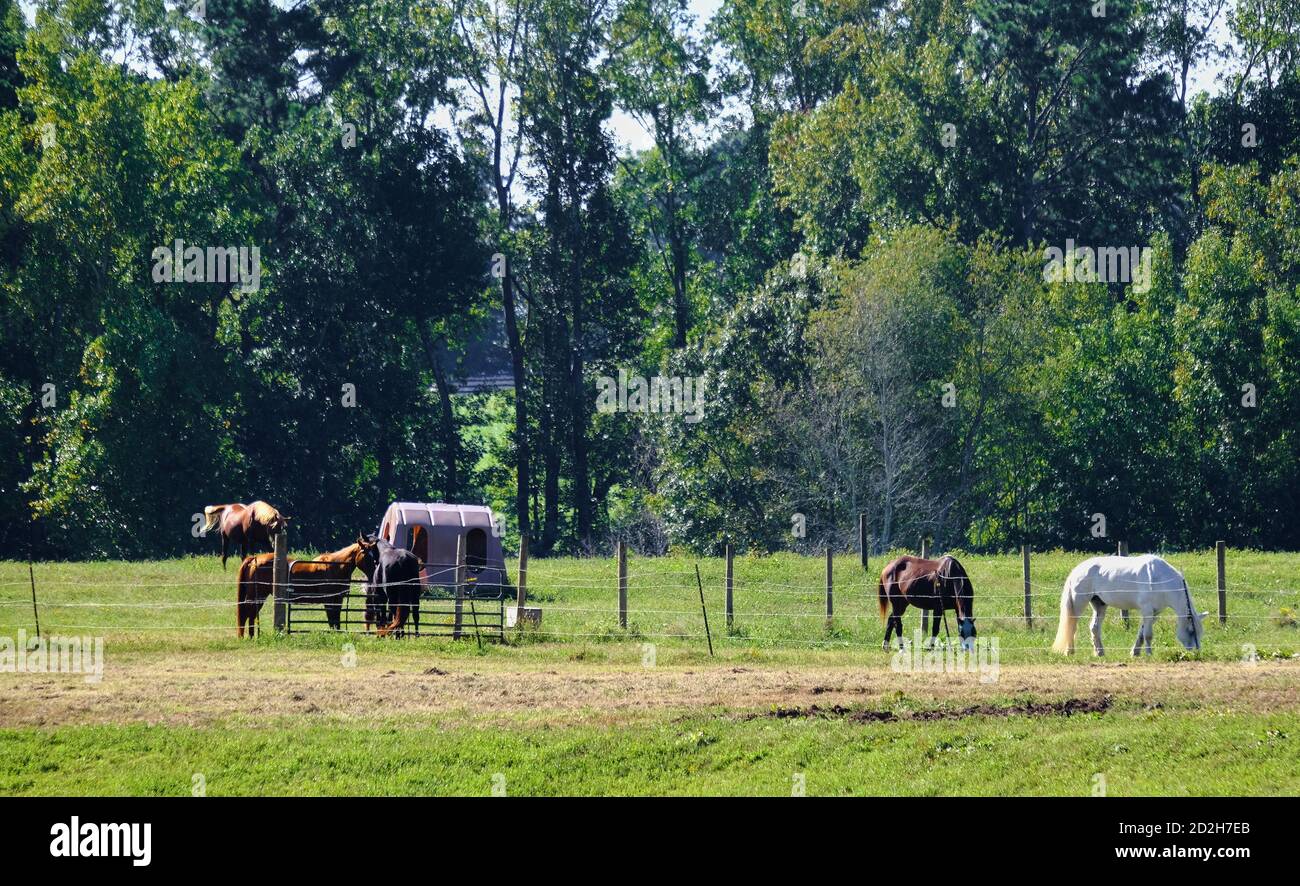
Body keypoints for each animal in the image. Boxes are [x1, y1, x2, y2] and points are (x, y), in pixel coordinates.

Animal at [235, 536, 371, 637]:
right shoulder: (329, 600)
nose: (374, 571)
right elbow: (332, 619)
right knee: (248, 613)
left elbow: (336, 620)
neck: (335, 566)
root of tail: (254, 559)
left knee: (251, 614)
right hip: (257, 596)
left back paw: (252, 636)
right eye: (366, 554)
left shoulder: (338, 599)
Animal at [1052, 554, 1206, 656]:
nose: (1196, 652)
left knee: (1094, 628)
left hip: (1100, 605)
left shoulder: (1154, 613)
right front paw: (1149, 654)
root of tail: (1077, 570)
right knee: (1072, 626)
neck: (1160, 579)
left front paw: (1135, 652)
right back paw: (1070, 652)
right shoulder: (1147, 611)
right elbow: (1148, 635)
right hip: (1079, 603)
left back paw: (1100, 652)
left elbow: (1141, 633)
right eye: (1191, 631)